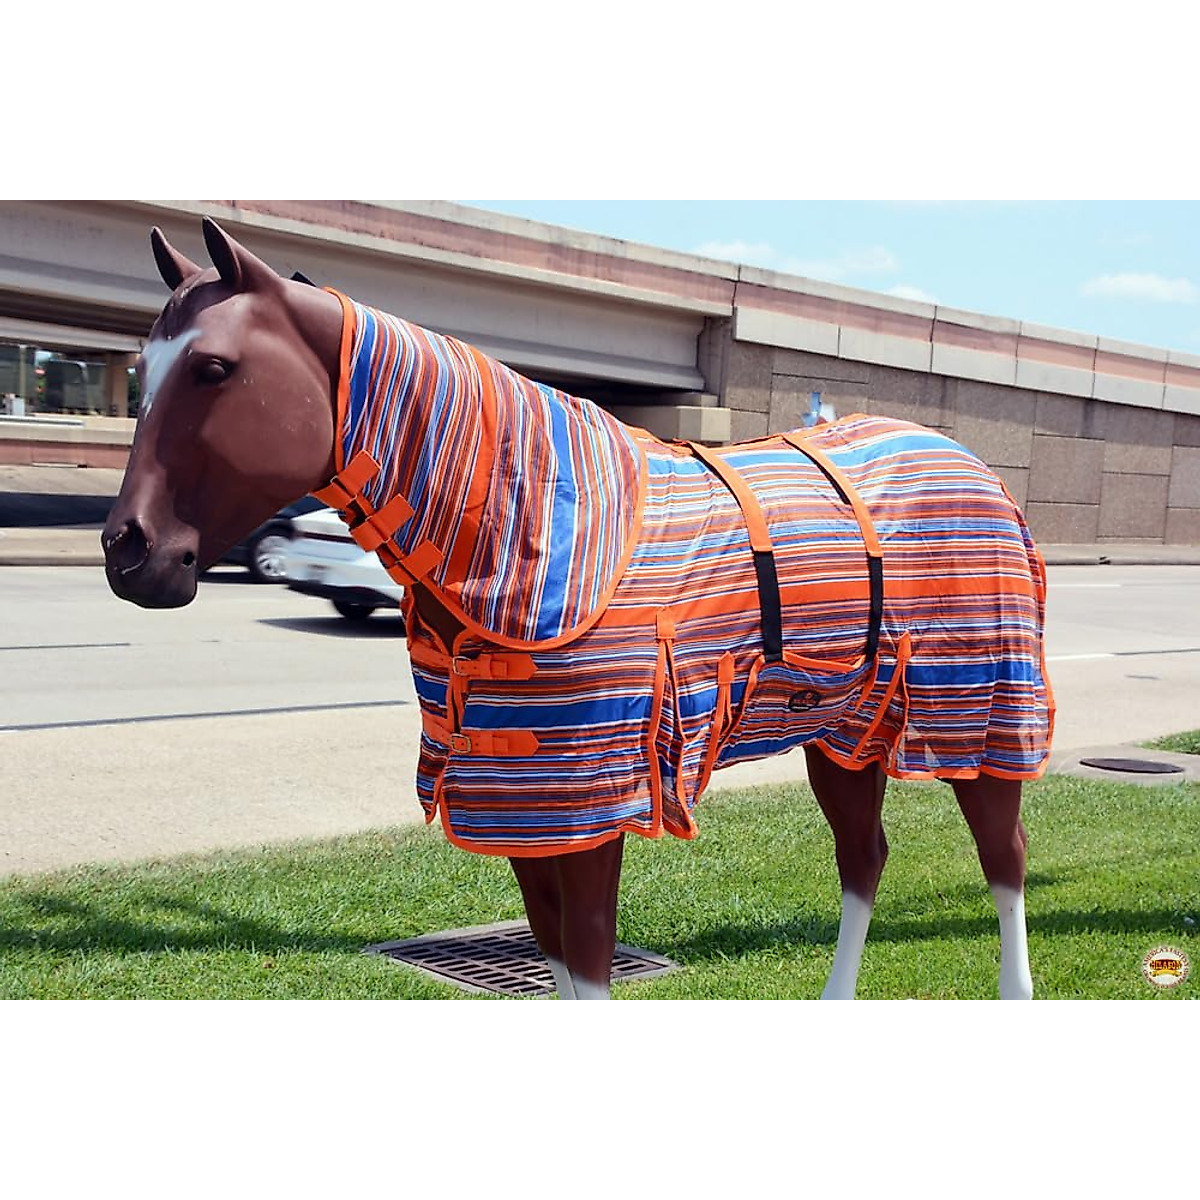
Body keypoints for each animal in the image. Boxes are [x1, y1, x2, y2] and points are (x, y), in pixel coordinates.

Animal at [102, 218, 1054, 1000]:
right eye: (138, 373)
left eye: (215, 367)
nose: (131, 552)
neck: (526, 537)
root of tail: (976, 468)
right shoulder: (515, 801)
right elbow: (555, 954)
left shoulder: (591, 797)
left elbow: (590, 962)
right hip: (842, 727)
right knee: (865, 860)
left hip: (981, 709)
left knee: (1004, 861)